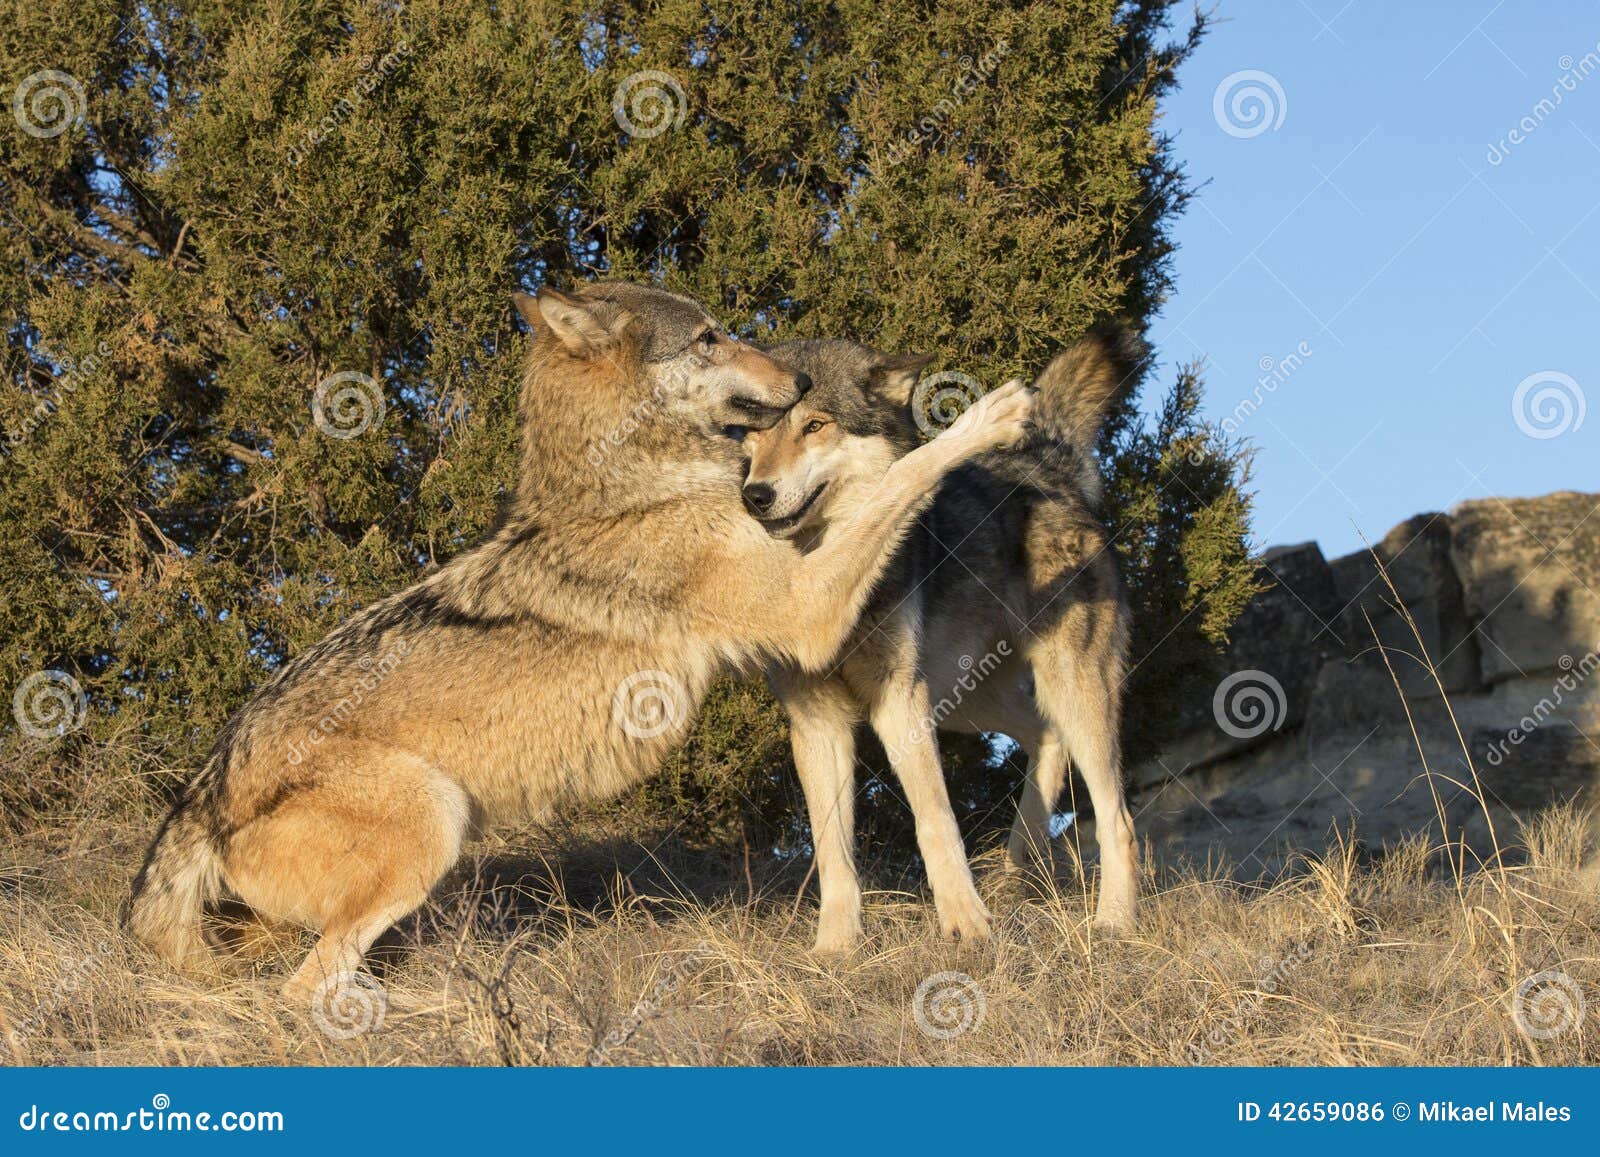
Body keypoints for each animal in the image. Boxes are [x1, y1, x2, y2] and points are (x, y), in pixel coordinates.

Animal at [127, 282, 1036, 998]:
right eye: (708, 335)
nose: (802, 377)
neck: (636, 478)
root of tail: (200, 796)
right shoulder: (802, 606)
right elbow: (903, 477)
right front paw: (988, 414)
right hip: (434, 821)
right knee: (303, 987)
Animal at [740, 330, 1140, 951]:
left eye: (815, 425)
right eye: (753, 437)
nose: (754, 494)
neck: (829, 566)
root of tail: (1047, 464)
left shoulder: (899, 705)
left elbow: (935, 821)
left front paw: (967, 927)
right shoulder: (816, 720)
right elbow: (832, 851)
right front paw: (835, 948)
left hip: (1064, 692)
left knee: (1117, 820)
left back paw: (1113, 923)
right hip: (962, 700)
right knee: (1046, 737)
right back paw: (1018, 870)